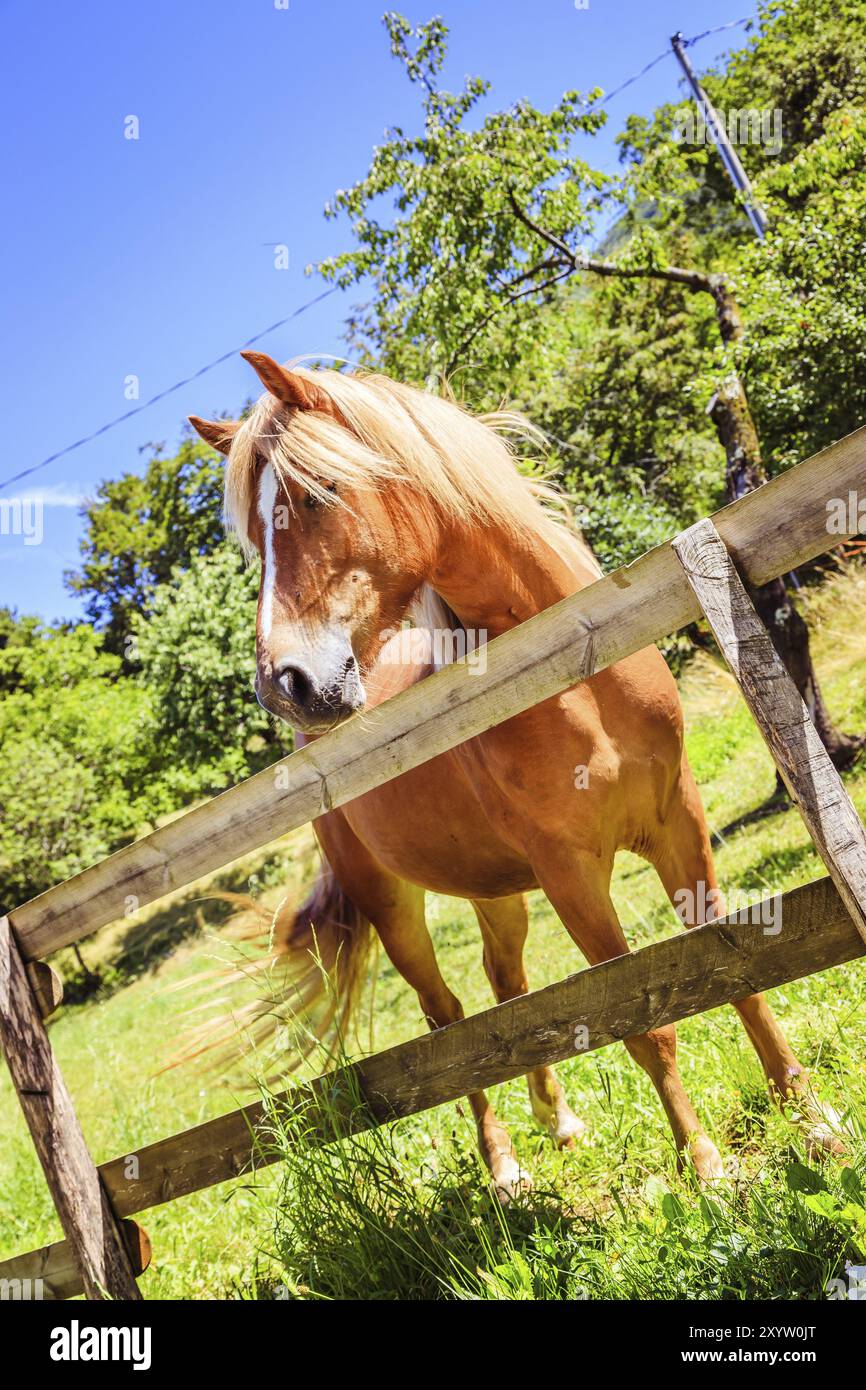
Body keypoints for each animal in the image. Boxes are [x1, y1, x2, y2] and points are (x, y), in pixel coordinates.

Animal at [189, 350, 841, 1199]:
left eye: (316, 491)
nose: (286, 685)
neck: (570, 664)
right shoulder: (570, 874)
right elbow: (648, 1020)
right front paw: (705, 1166)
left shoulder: (680, 821)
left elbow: (737, 965)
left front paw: (813, 1123)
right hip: (395, 905)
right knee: (448, 1023)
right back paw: (504, 1168)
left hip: (493, 890)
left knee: (508, 992)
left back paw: (557, 1123)